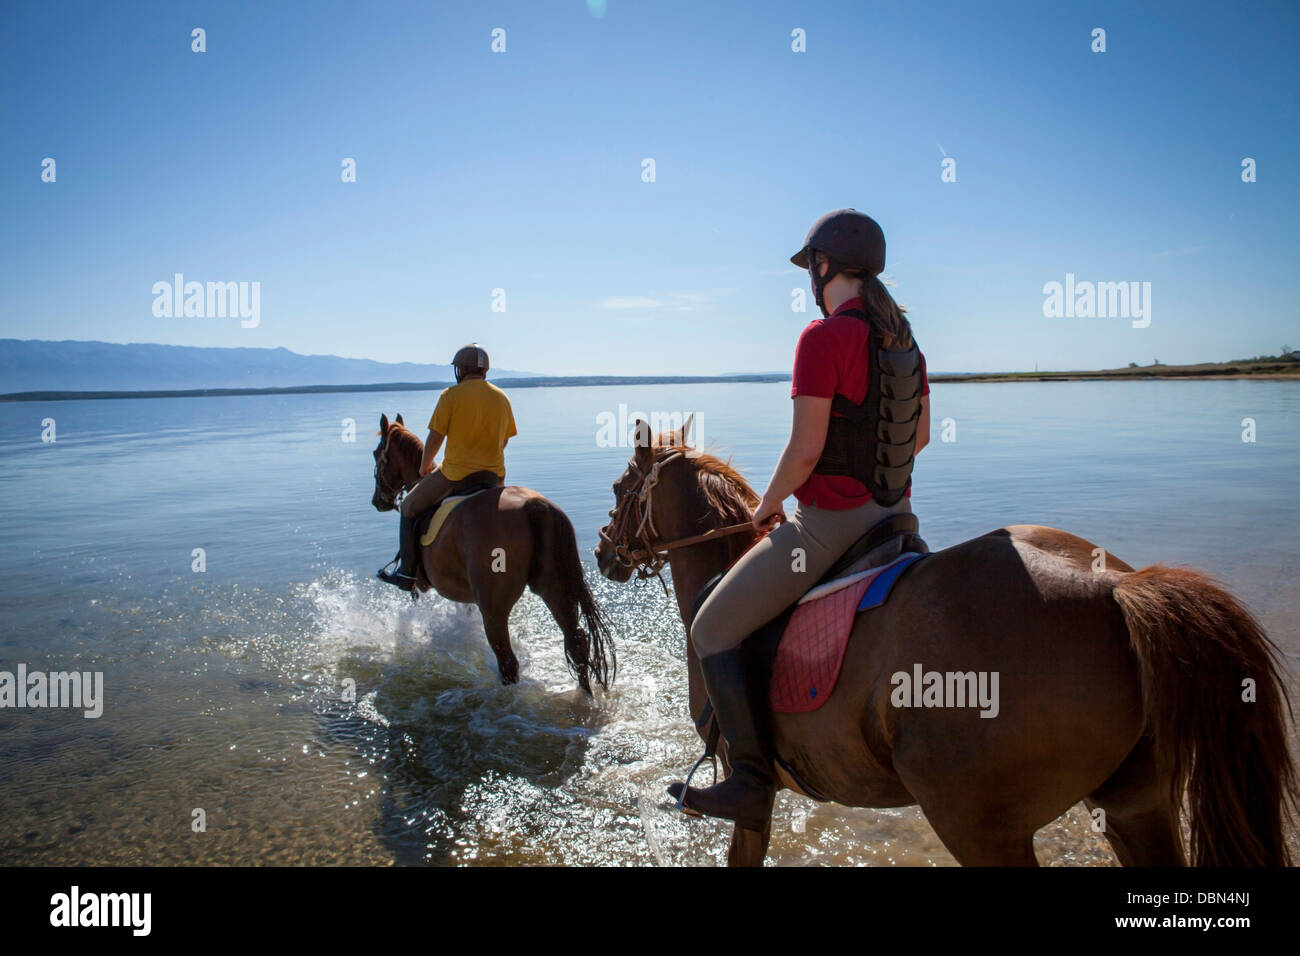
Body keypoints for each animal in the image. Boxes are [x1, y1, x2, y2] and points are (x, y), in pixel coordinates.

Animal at [371, 413, 614, 694]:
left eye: (377, 453)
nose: (378, 501)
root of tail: (534, 506)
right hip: (555, 588)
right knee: (576, 642)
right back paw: (585, 695)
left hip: (495, 607)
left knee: (507, 660)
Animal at [595, 420, 1298, 867]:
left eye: (618, 490)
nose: (603, 553)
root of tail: (1115, 590)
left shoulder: (752, 794)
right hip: (1135, 802)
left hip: (980, 824)